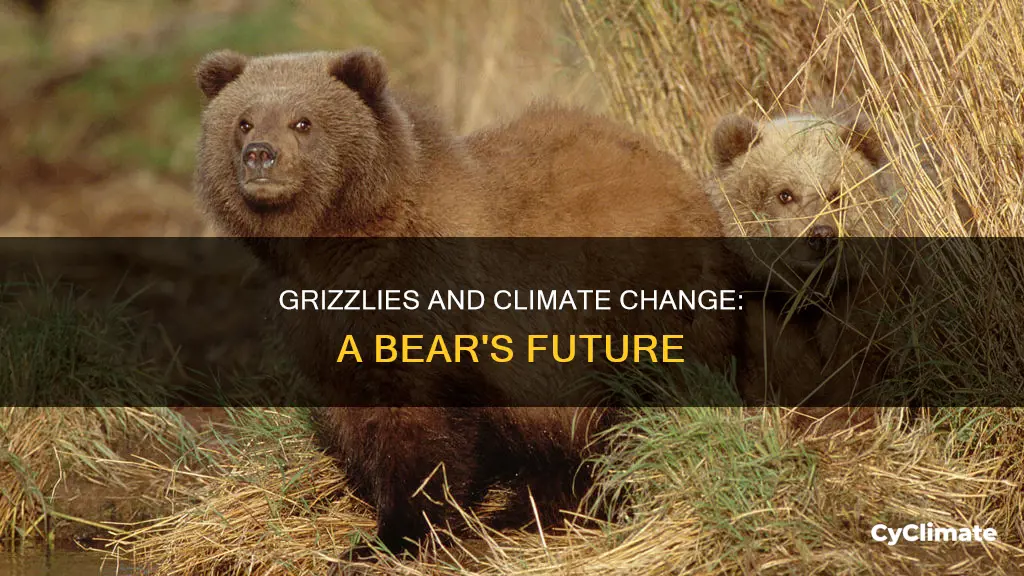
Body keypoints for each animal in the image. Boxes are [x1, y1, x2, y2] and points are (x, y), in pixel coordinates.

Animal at [192, 48, 737, 559]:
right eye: (243, 121)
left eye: (303, 121)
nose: (260, 155)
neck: (338, 247)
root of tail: (681, 176)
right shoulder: (321, 325)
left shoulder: (433, 302)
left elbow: (419, 427)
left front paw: (398, 534)